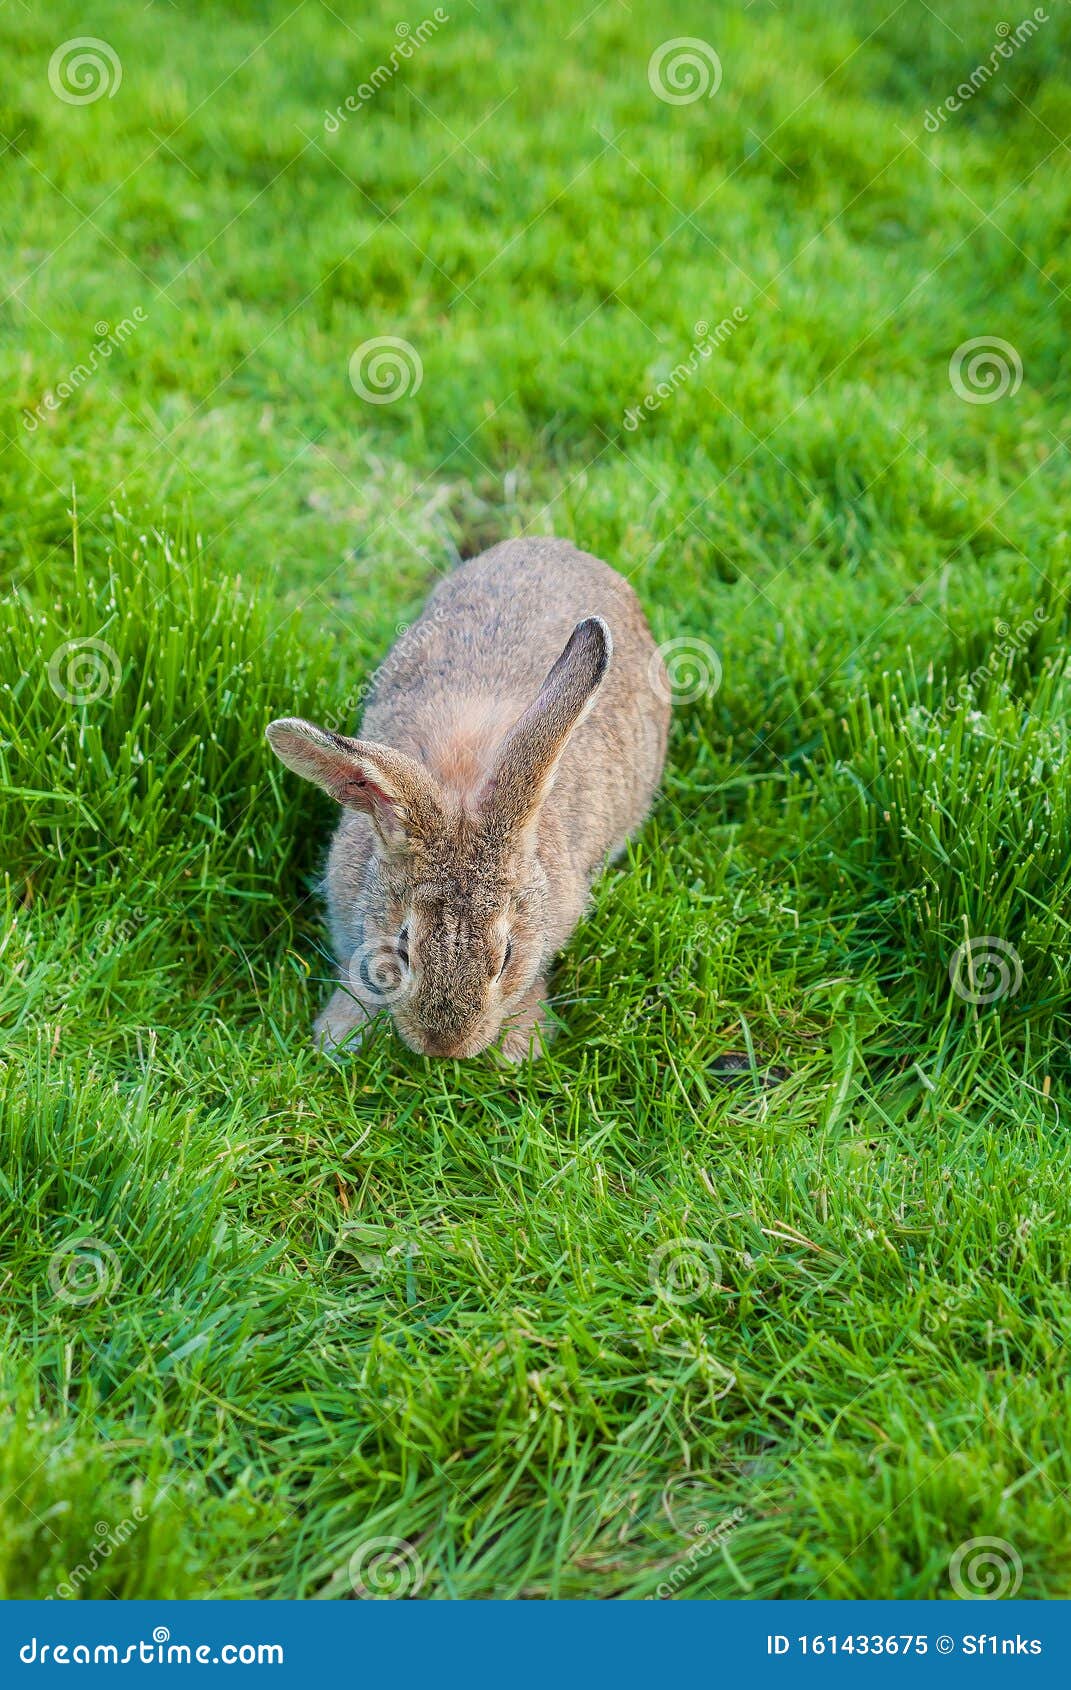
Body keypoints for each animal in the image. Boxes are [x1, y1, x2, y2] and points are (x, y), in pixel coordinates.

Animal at [266, 537, 670, 1061]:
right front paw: (339, 1035)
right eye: (402, 948)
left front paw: (520, 1046)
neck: (459, 790)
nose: (444, 1047)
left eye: (507, 956)